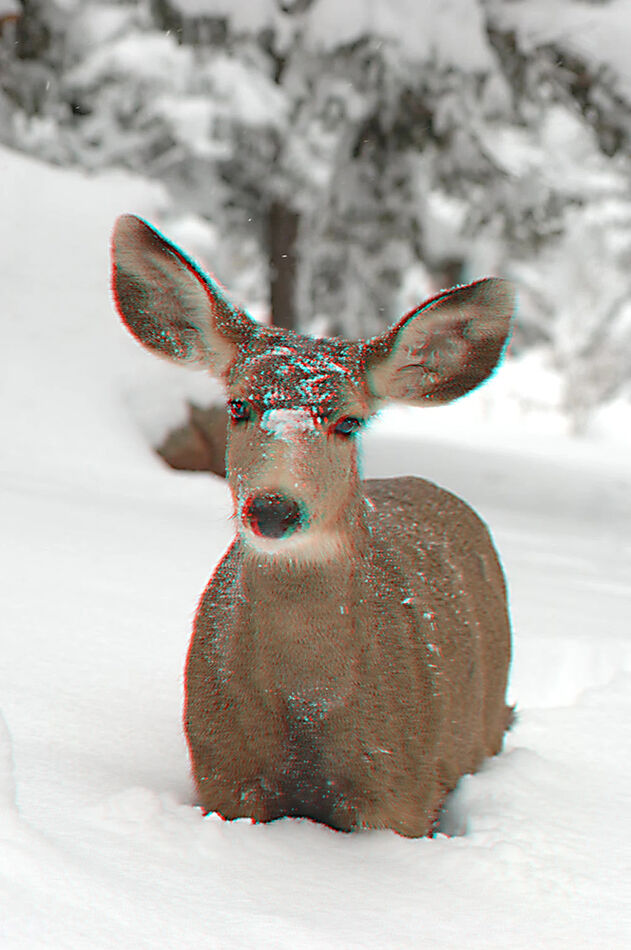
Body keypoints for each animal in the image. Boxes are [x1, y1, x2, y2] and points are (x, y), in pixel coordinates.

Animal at [111, 214, 515, 837]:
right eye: (238, 406)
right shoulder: (224, 775)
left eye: (348, 422)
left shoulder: (402, 791)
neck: (308, 713)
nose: (274, 508)